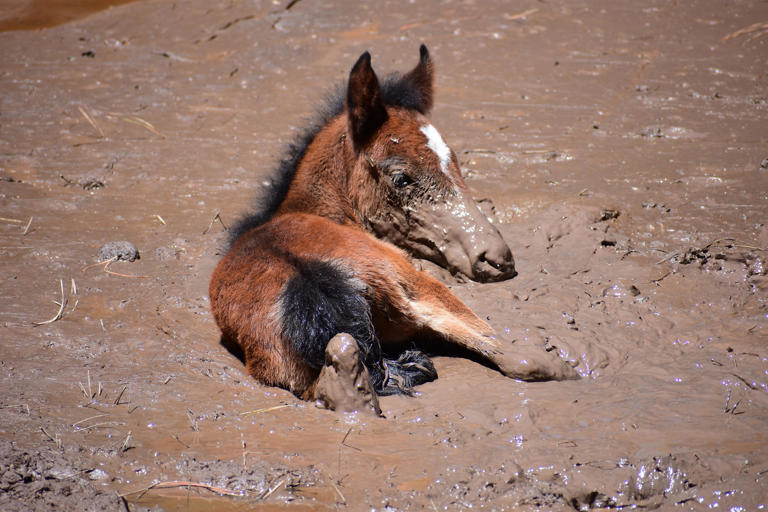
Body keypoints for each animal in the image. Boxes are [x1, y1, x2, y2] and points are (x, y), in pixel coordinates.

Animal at [209, 45, 576, 408]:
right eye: (401, 178)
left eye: (455, 162)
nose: (497, 259)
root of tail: (312, 281)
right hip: (424, 289)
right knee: (514, 354)